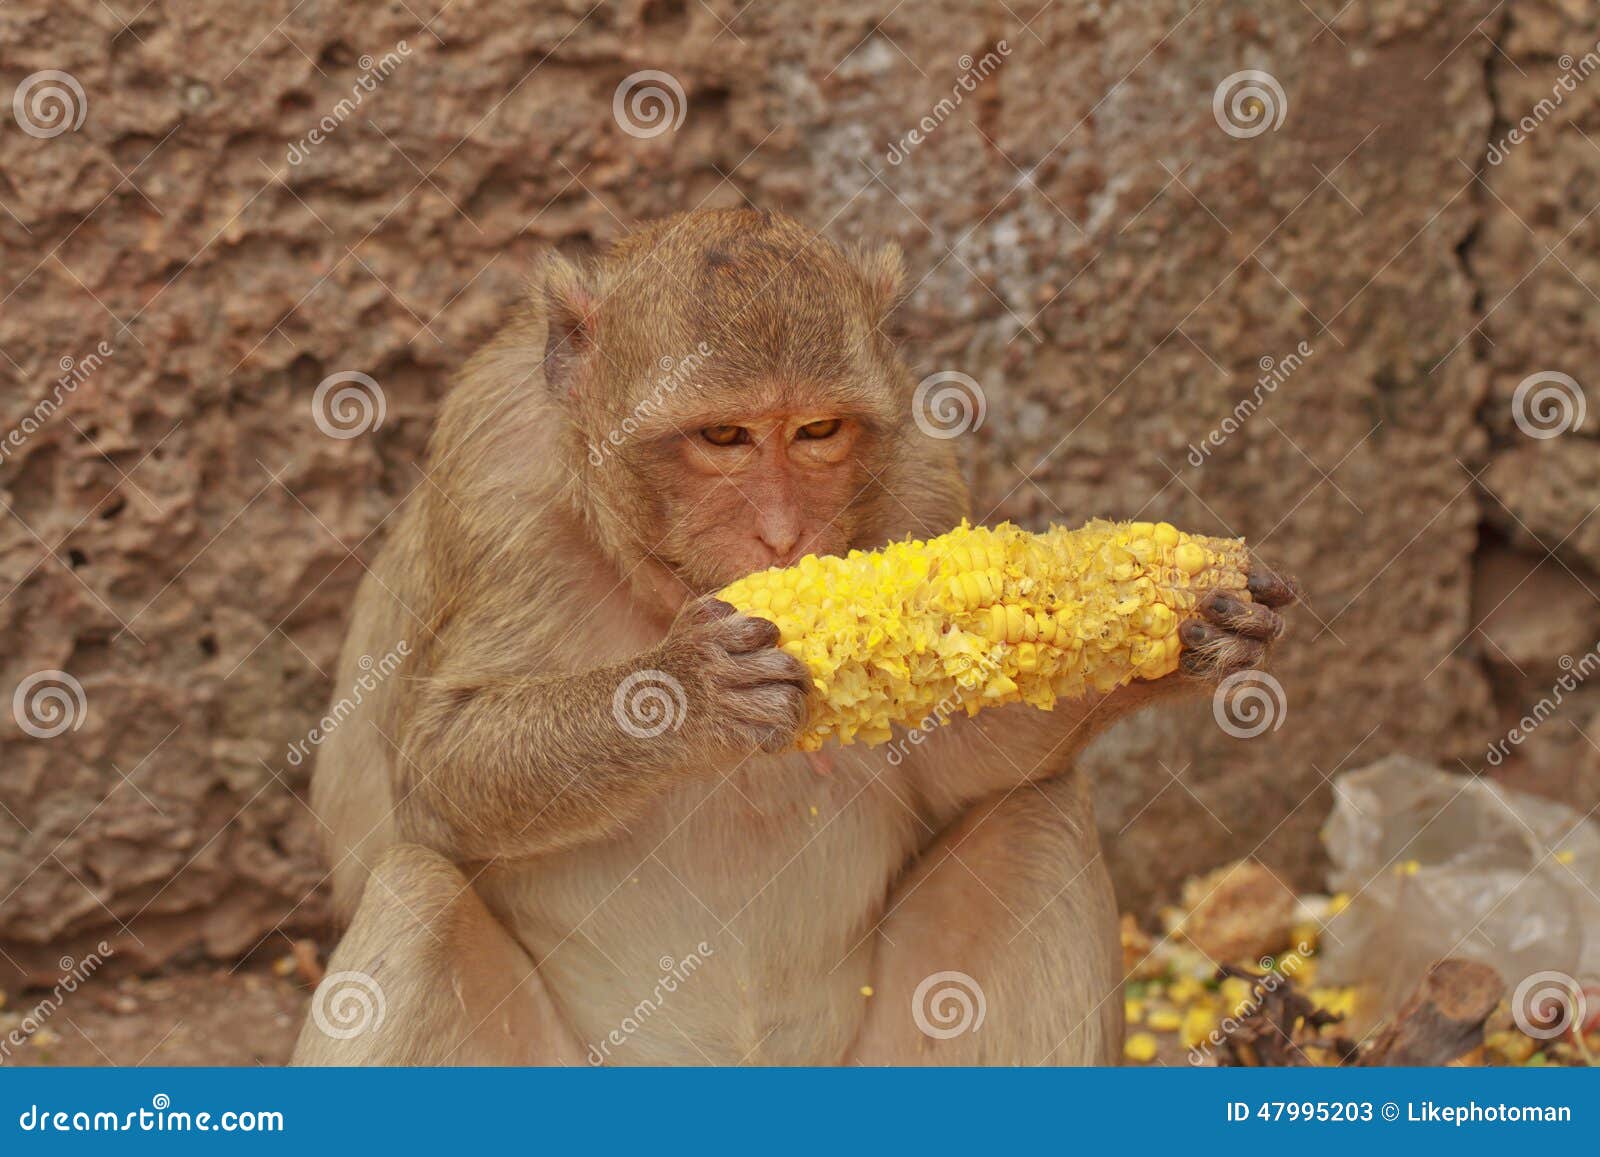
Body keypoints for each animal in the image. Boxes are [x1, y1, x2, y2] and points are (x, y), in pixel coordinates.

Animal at [291, 208, 1297, 1066]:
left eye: (817, 429)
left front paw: (1186, 632)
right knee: (419, 896)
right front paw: (690, 693)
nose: (782, 535)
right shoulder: (492, 475)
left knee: (1036, 814)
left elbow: (964, 759)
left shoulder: (920, 483)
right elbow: (434, 767)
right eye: (724, 436)